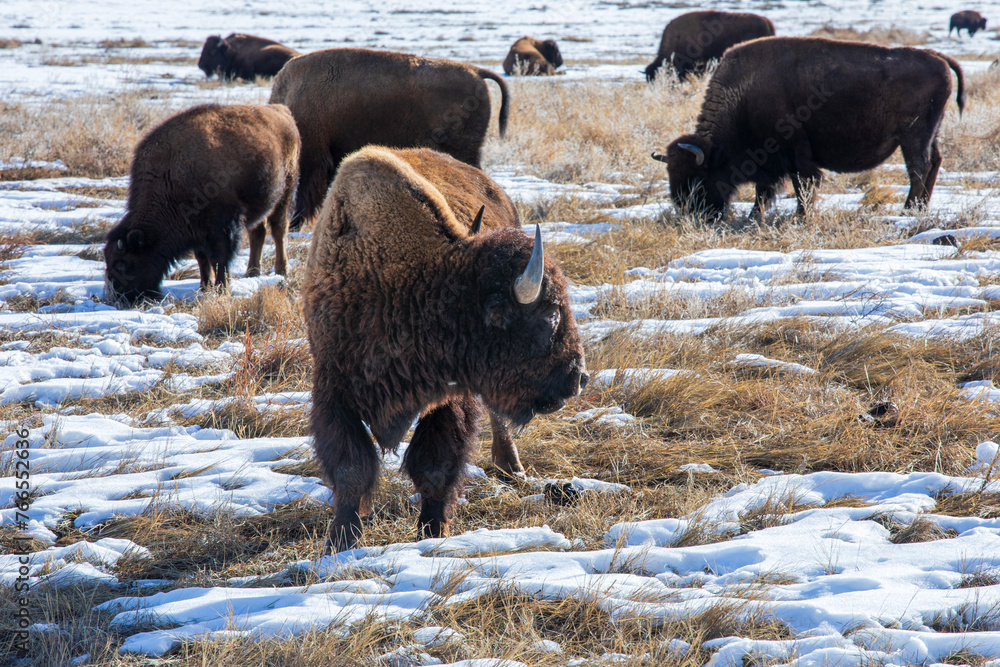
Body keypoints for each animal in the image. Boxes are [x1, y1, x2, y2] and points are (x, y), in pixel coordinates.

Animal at [104, 104, 299, 305]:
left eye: (122, 263)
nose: (119, 297)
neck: (171, 177)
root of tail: (281, 111)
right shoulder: (196, 231)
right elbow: (202, 259)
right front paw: (205, 287)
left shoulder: (223, 226)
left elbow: (220, 258)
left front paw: (222, 290)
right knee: (258, 234)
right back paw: (252, 273)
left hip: (286, 192)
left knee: (279, 230)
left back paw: (282, 270)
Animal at [302, 146, 587, 551]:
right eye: (550, 313)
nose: (578, 377)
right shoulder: (333, 388)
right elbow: (350, 469)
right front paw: (340, 541)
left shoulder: (450, 397)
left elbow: (435, 465)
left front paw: (433, 532)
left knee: (496, 419)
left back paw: (511, 468)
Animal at [653, 37, 964, 221]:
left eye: (698, 177)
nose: (690, 211)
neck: (743, 96)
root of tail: (937, 57)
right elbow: (765, 189)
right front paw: (756, 217)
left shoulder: (793, 153)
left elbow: (802, 182)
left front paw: (800, 215)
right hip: (931, 133)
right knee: (934, 162)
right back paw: (920, 208)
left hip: (913, 136)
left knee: (918, 167)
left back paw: (908, 210)